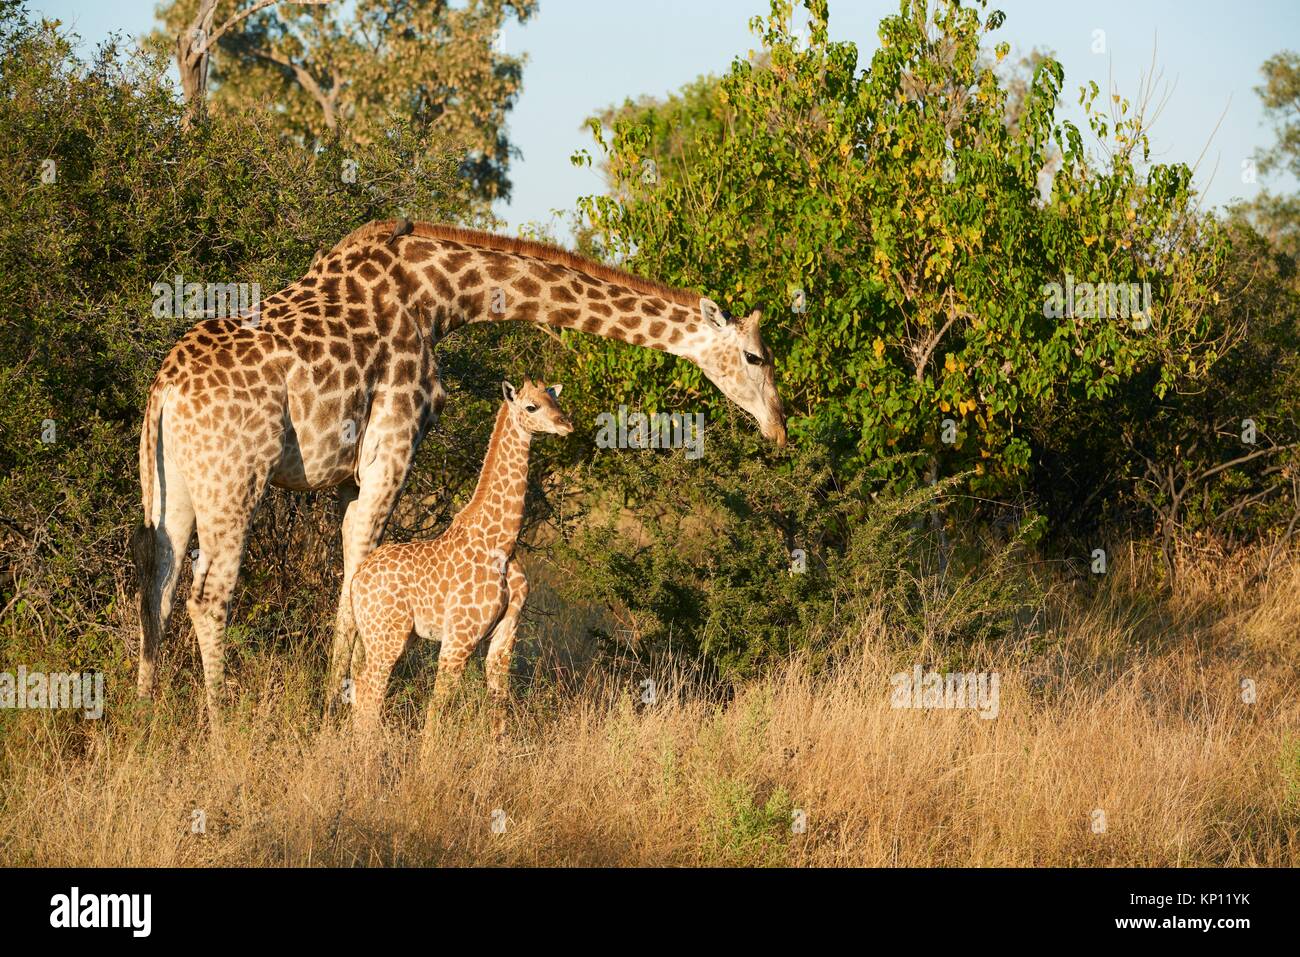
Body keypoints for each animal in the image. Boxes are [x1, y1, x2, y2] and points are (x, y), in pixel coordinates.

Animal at [350, 379, 571, 737]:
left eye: (555, 400)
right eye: (531, 406)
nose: (566, 424)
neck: (501, 542)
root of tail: (356, 579)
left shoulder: (505, 634)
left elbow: (499, 704)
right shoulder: (459, 637)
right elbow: (438, 707)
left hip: (391, 635)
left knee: (360, 685)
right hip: (388, 635)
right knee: (370, 688)